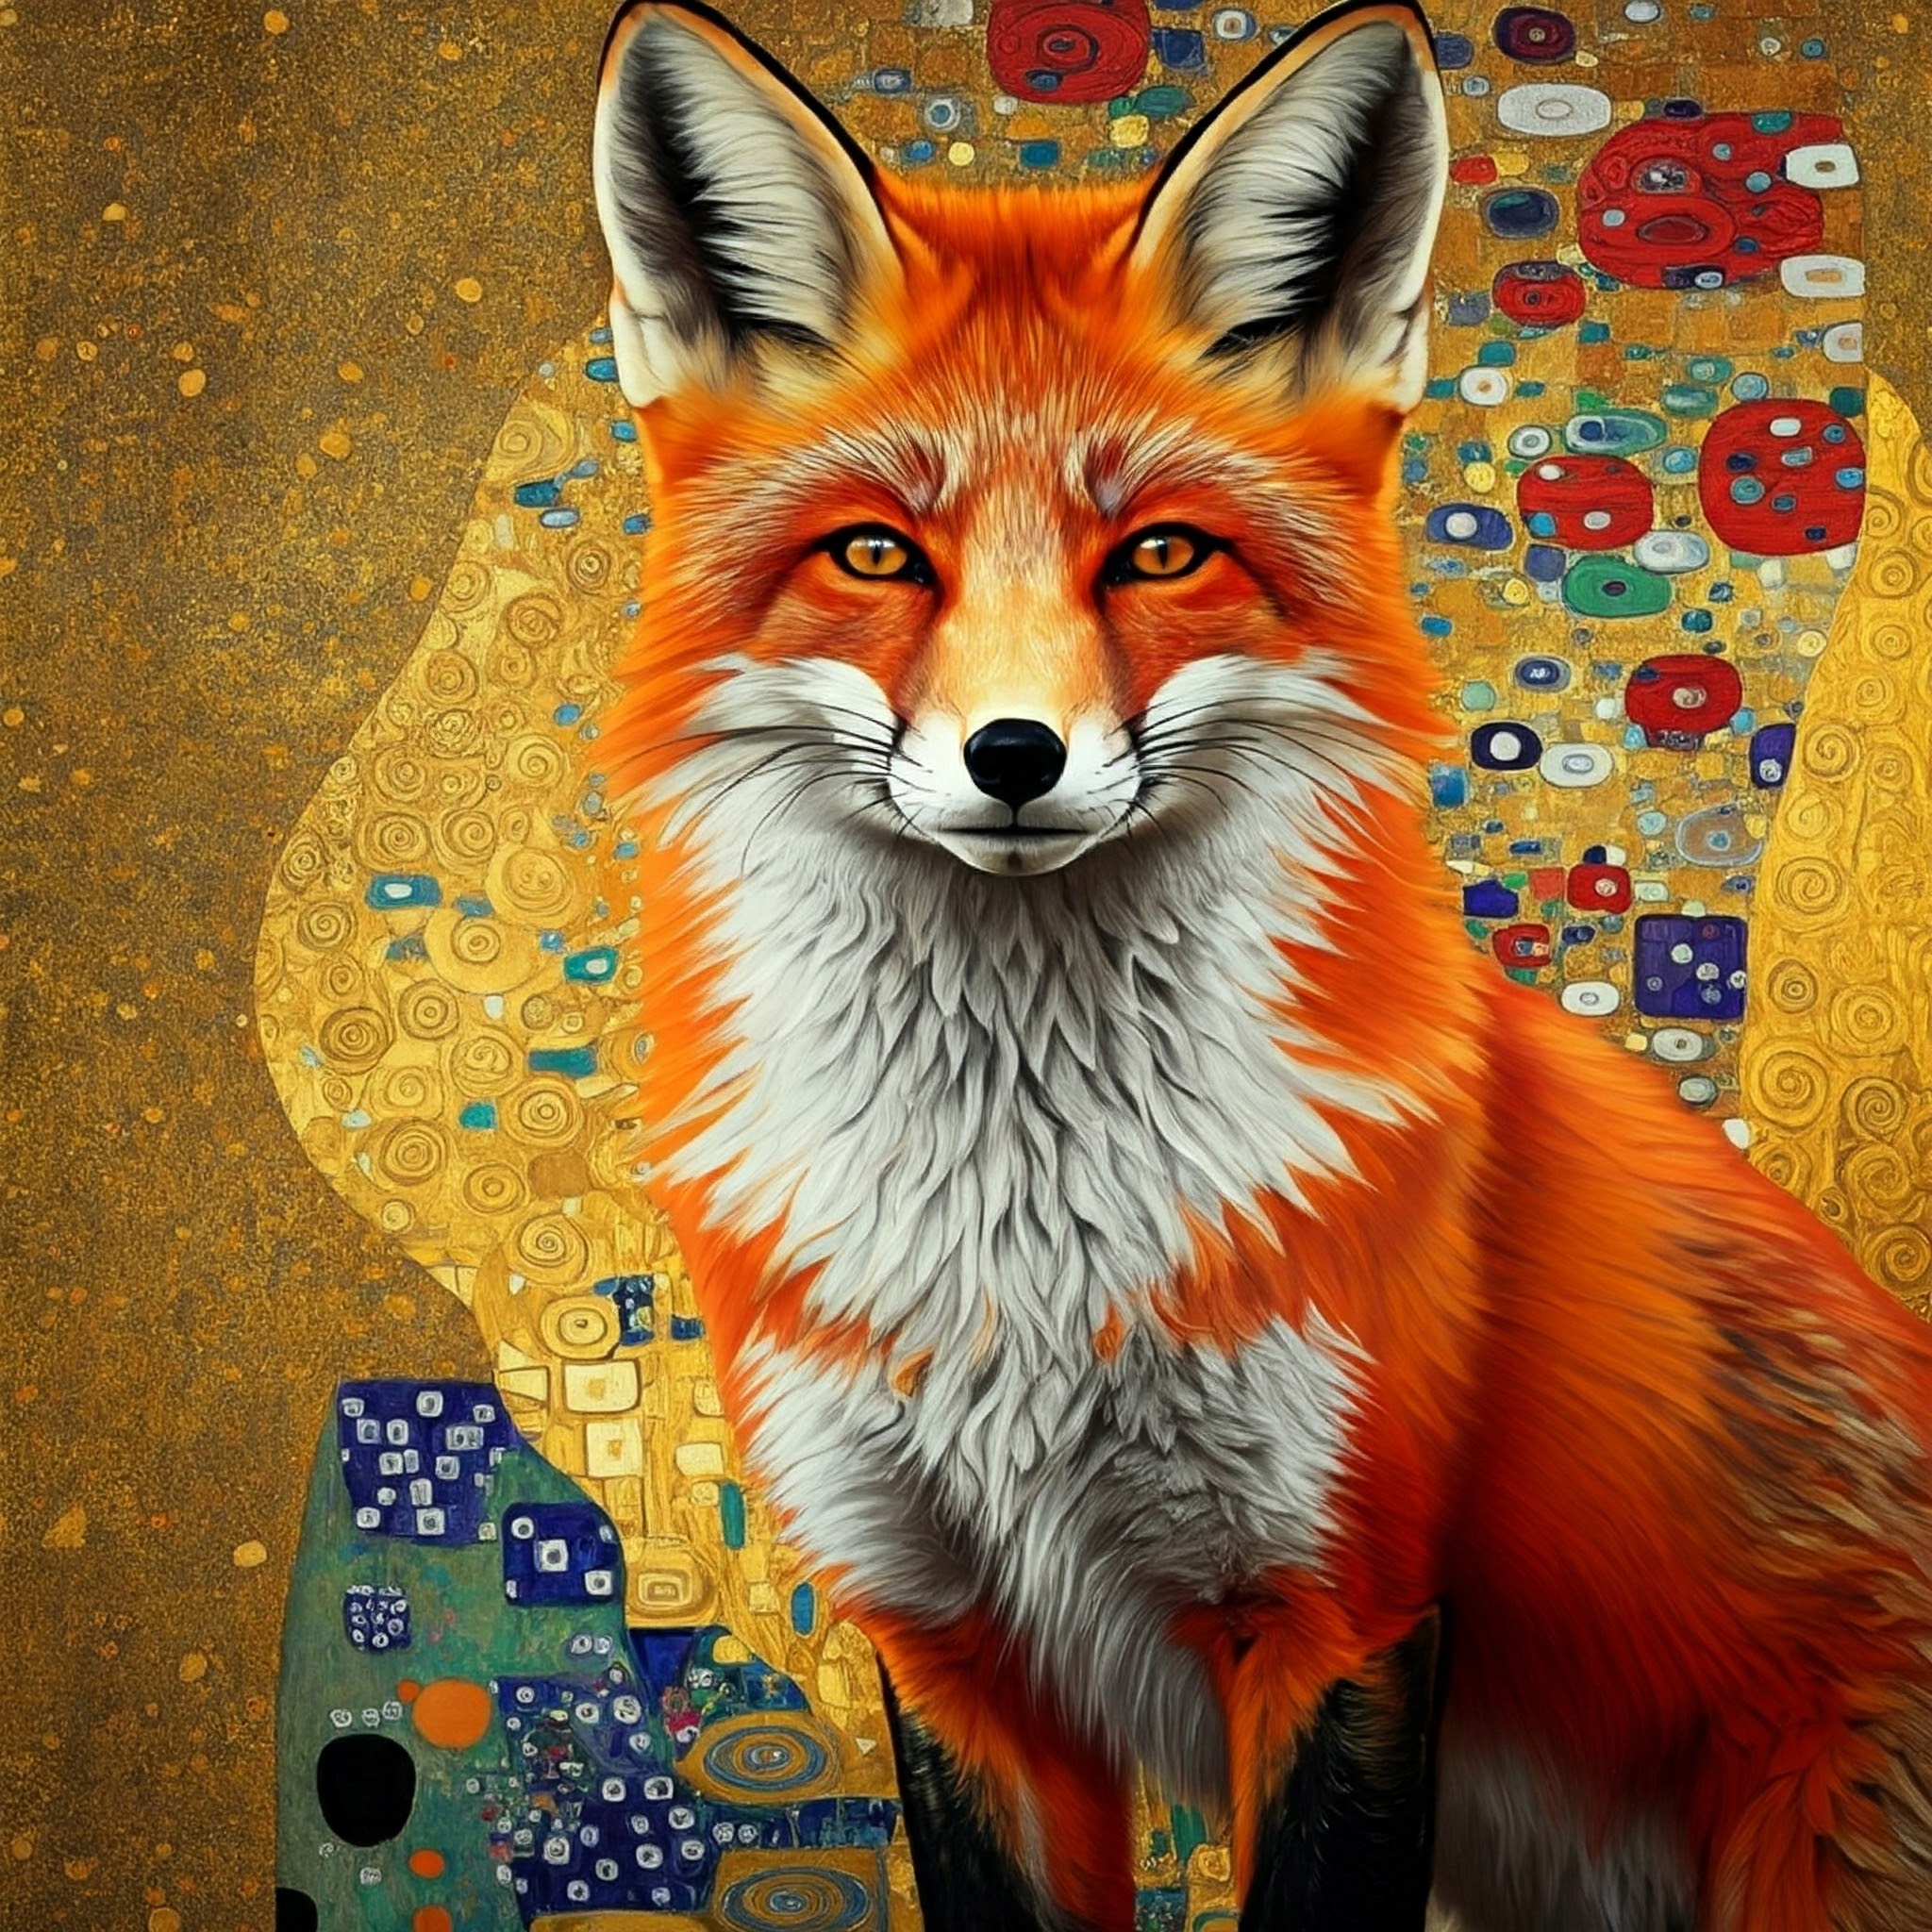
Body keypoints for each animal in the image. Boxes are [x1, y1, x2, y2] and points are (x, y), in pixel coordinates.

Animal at [586, 2, 1932, 1927]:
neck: (1023, 1253)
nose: (1013, 756)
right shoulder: (945, 1635)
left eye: (1158, 550)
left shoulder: (1338, 1607)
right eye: (876, 553)